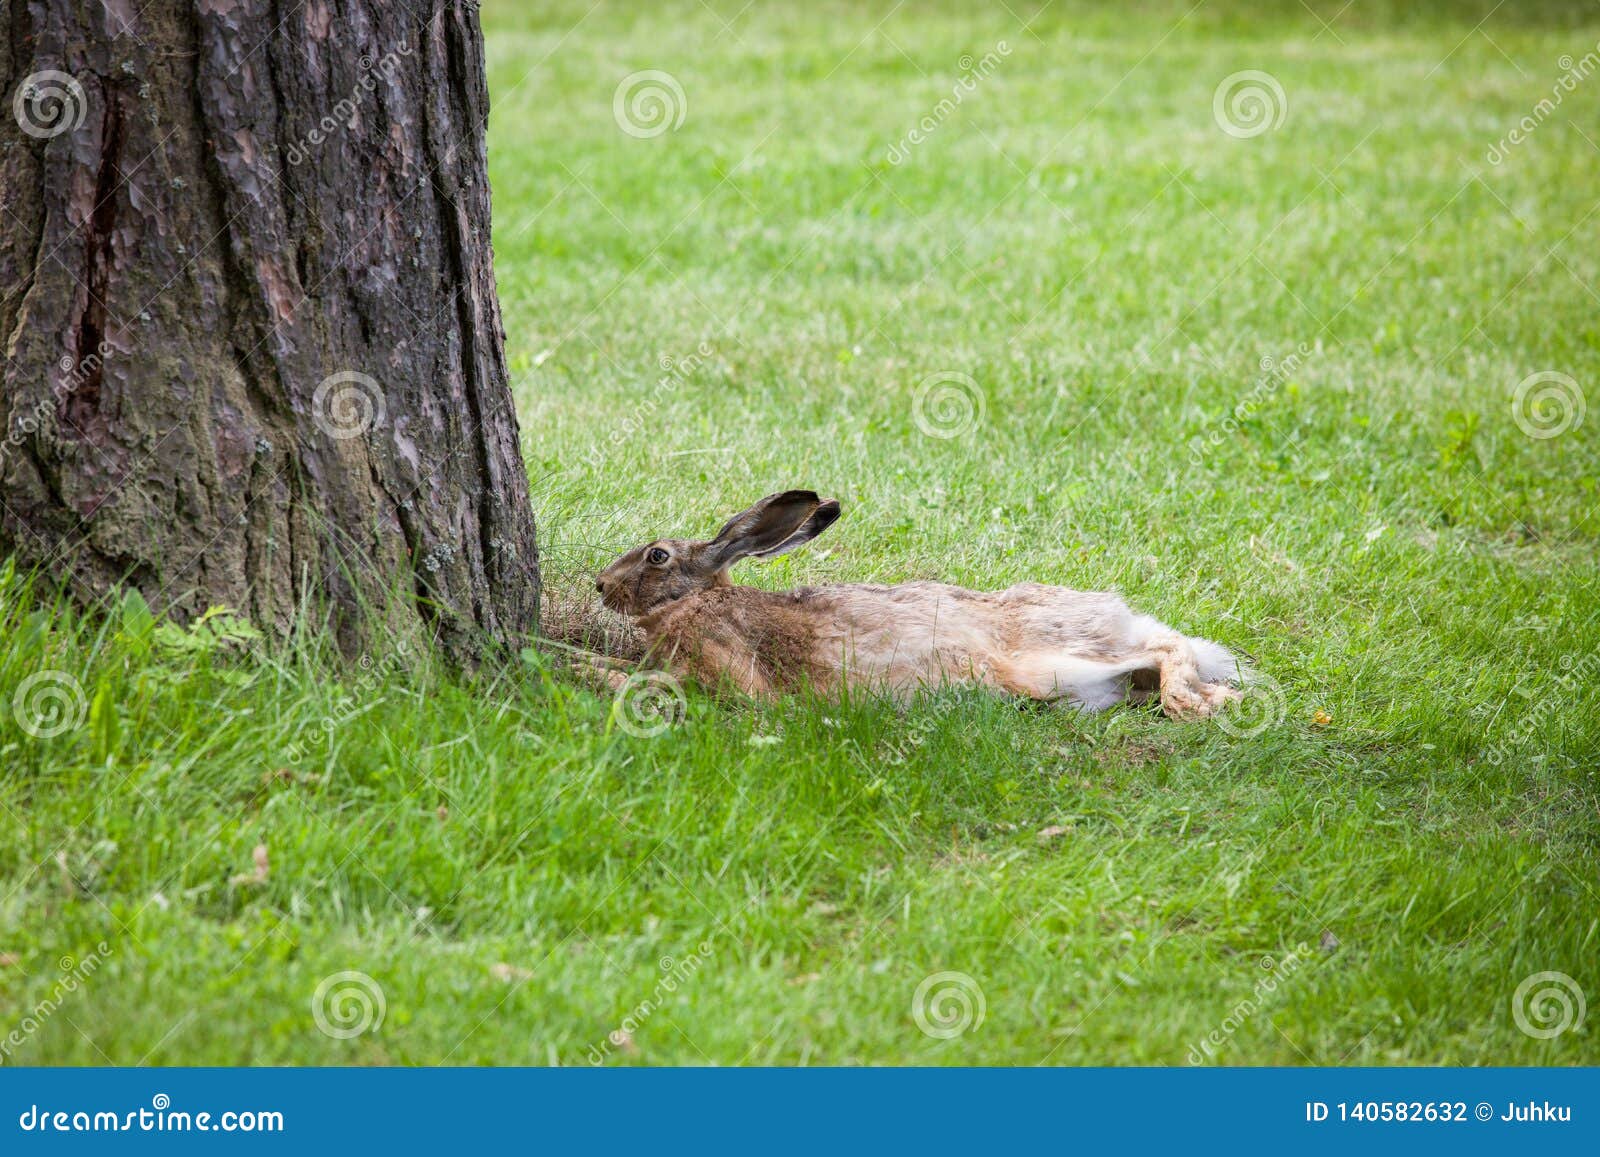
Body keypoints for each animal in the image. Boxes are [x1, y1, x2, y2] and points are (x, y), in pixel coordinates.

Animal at [591, 490, 1244, 718]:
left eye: (657, 557)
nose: (600, 585)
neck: (694, 602)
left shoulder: (721, 667)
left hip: (1049, 657)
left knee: (1167, 647)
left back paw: (1197, 701)